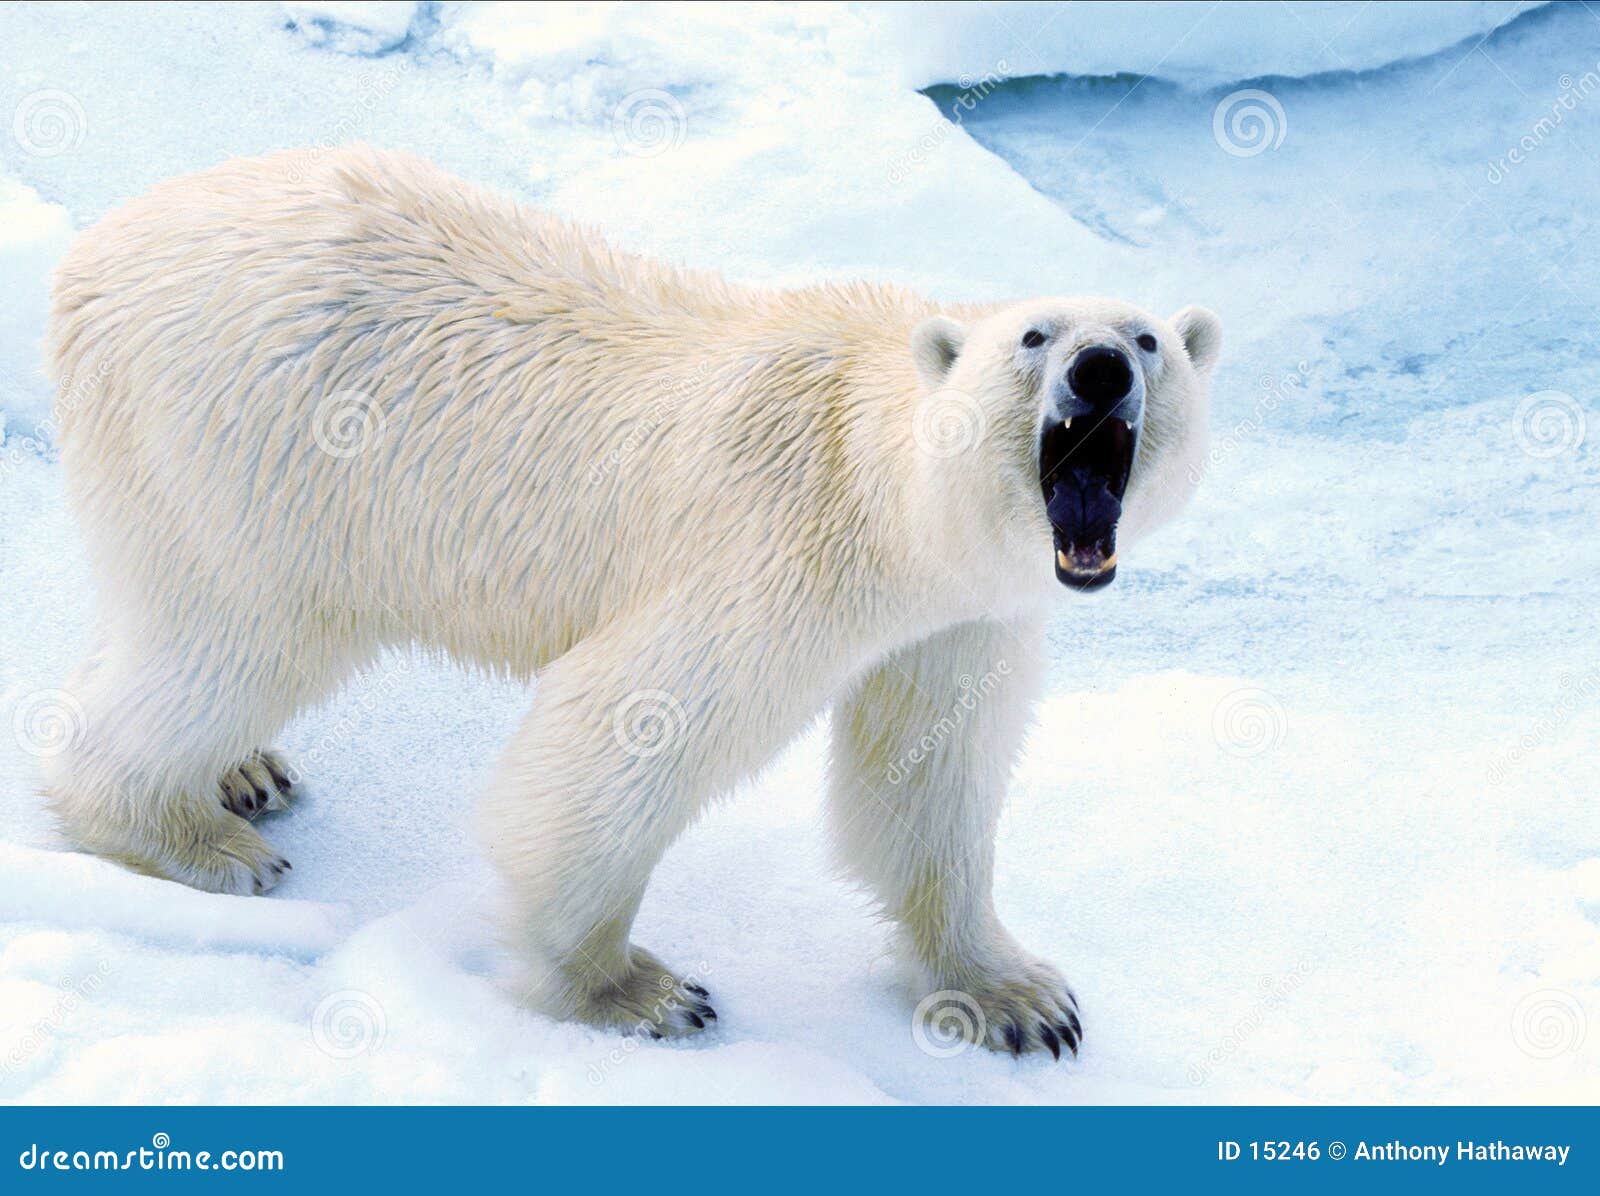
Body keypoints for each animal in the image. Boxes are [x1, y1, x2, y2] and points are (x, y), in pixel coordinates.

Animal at [44, 145, 1219, 1057]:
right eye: (1034, 336)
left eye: (1148, 337)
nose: (1102, 369)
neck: (881, 487)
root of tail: (96, 252)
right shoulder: (776, 552)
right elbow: (619, 734)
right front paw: (637, 991)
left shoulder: (956, 618)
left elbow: (927, 777)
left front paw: (1017, 995)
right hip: (248, 442)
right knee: (235, 634)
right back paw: (191, 834)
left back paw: (244, 770)